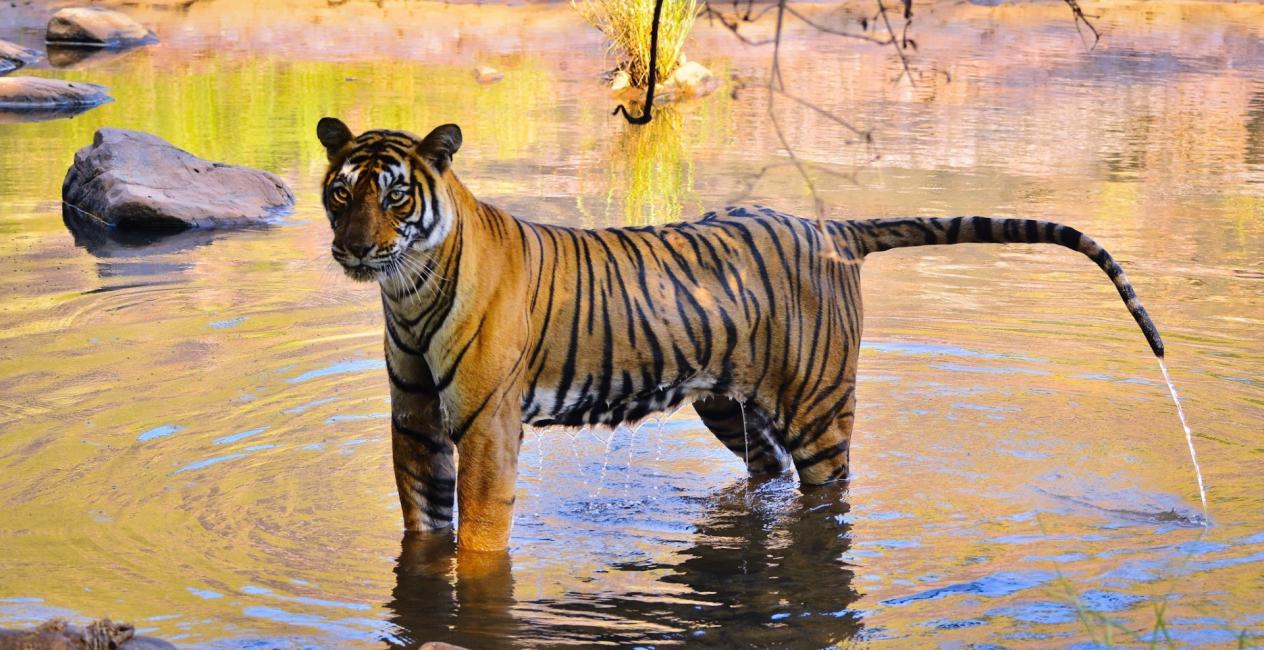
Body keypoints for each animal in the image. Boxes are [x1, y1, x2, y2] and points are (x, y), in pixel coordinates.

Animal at [316, 117, 1165, 552]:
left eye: (396, 197)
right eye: (340, 194)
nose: (355, 249)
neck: (409, 289)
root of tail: (831, 226)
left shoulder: (489, 426)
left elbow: (480, 542)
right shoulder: (415, 423)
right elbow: (425, 526)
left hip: (821, 412)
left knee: (827, 492)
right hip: (731, 406)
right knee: (769, 476)